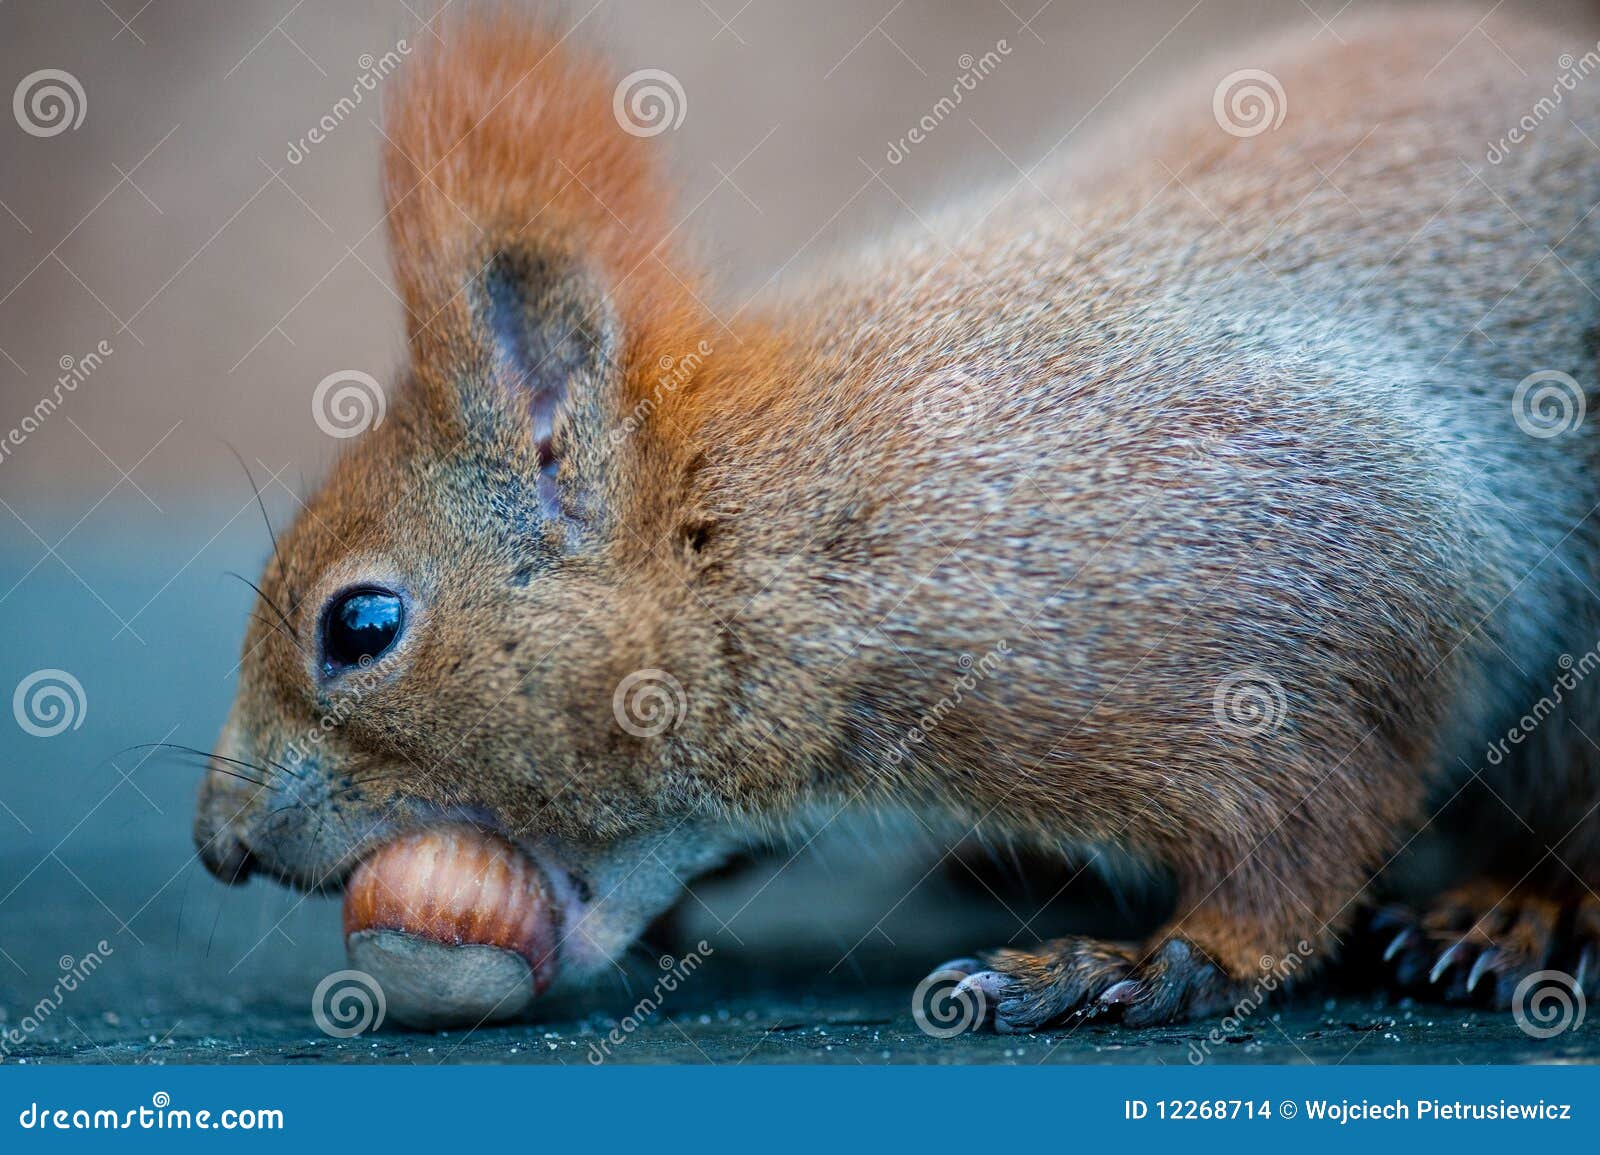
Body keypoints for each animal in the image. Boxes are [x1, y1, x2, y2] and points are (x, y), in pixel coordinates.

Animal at [195, 6, 1600, 1030]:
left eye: (361, 624)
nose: (219, 847)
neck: (778, 525)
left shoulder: (1269, 570)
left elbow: (1302, 827)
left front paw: (1152, 963)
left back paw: (1515, 909)